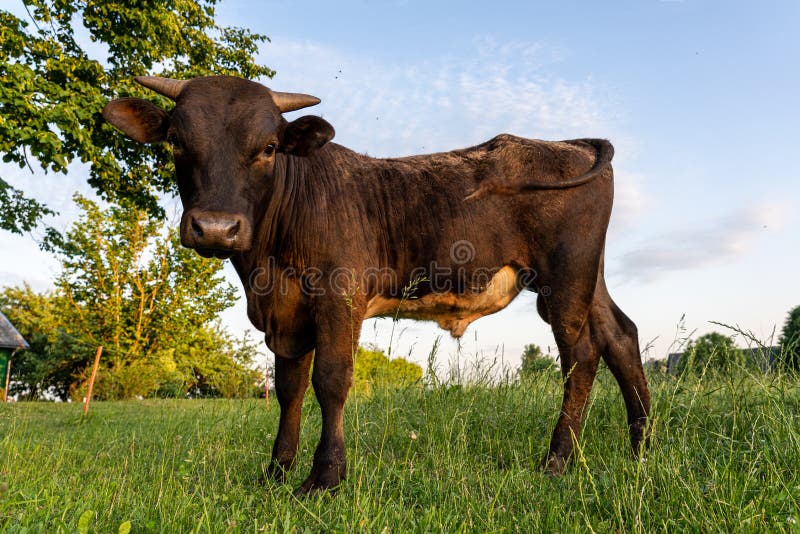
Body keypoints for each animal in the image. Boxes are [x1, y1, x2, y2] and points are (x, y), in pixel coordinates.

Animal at [103, 75, 650, 494]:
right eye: (176, 141)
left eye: (269, 148)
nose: (216, 228)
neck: (265, 267)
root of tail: (567, 144)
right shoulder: (287, 316)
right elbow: (288, 390)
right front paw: (276, 472)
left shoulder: (337, 297)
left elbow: (331, 380)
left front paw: (324, 478)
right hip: (589, 278)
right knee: (620, 335)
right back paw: (641, 447)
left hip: (565, 279)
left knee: (581, 353)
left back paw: (558, 460)